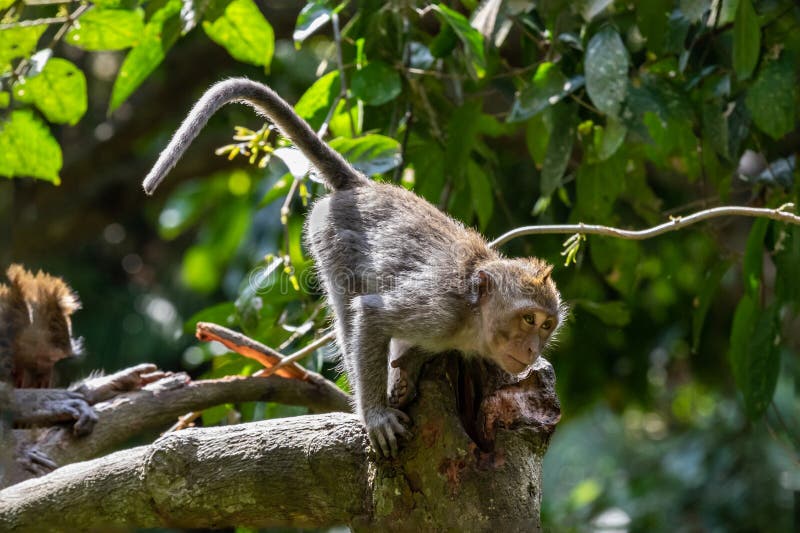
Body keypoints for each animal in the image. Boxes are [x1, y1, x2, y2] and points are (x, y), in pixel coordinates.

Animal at [142, 78, 565, 457]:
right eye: (528, 319)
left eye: (546, 326)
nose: (532, 349)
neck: (473, 316)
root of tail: (363, 186)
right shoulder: (439, 311)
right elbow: (372, 314)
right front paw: (376, 415)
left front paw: (408, 368)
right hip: (328, 234)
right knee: (349, 306)